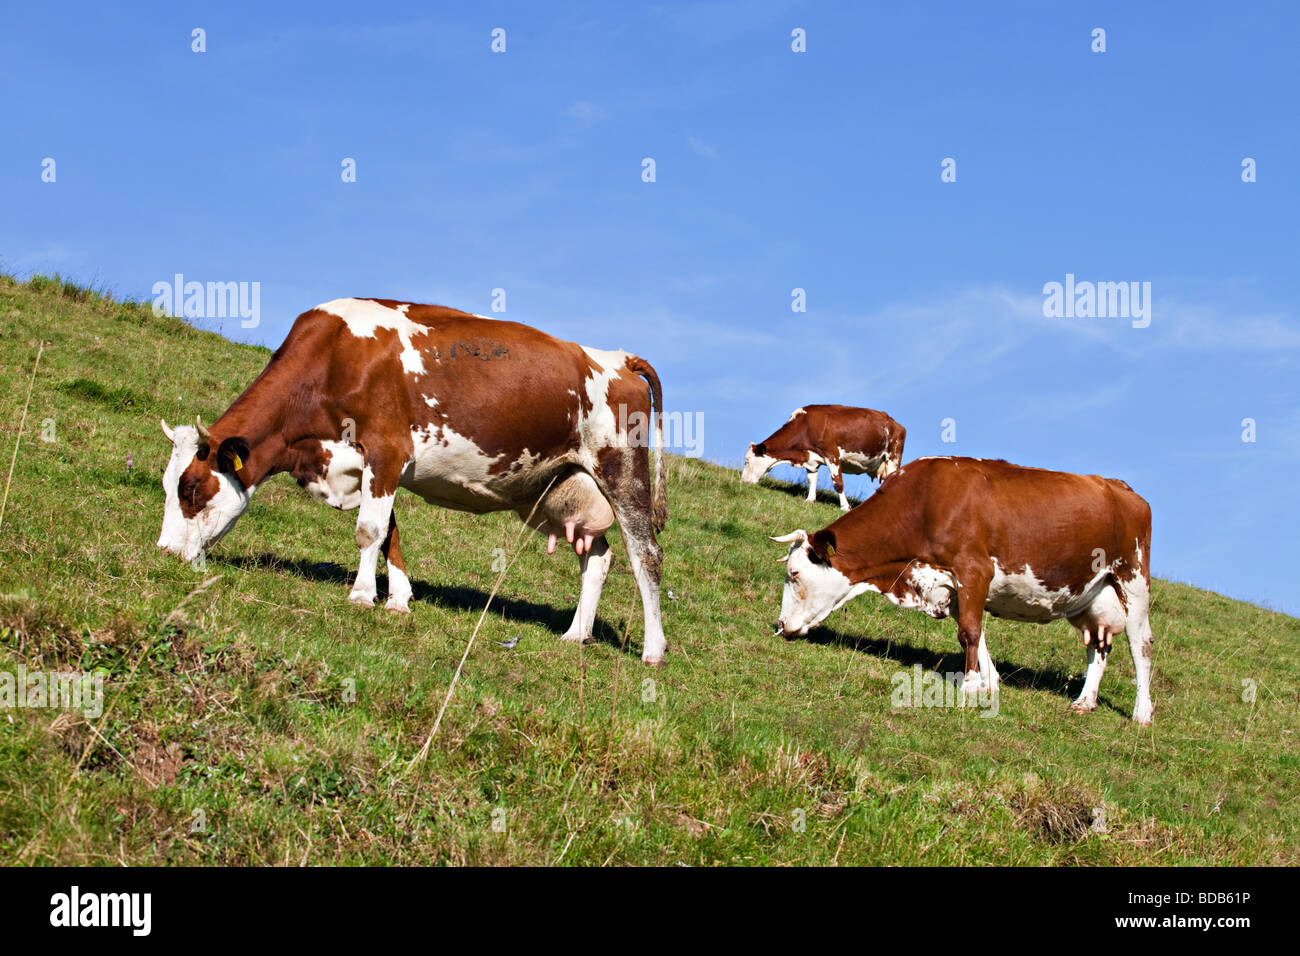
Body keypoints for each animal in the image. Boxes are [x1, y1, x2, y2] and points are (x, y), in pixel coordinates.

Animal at [156, 297, 670, 664]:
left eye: (190, 489)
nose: (163, 553)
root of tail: (618, 358)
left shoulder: (387, 449)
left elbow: (368, 530)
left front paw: (362, 595)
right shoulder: (370, 465)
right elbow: (389, 532)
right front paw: (399, 600)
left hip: (622, 472)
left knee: (645, 556)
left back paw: (653, 650)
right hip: (566, 486)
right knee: (598, 556)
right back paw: (575, 634)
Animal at [741, 405, 905, 511]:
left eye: (747, 461)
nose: (742, 481)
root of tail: (895, 423)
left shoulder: (832, 455)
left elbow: (838, 484)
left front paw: (845, 507)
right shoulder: (811, 459)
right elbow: (812, 480)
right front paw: (810, 500)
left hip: (893, 457)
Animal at [769, 457, 1154, 723]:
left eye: (794, 573)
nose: (780, 625)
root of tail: (1121, 488)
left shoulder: (974, 570)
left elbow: (969, 631)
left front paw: (969, 686)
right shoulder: (951, 586)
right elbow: (974, 632)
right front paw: (989, 682)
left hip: (1133, 579)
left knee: (1141, 645)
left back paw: (1143, 713)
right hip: (1093, 597)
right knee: (1099, 646)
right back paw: (1085, 702)